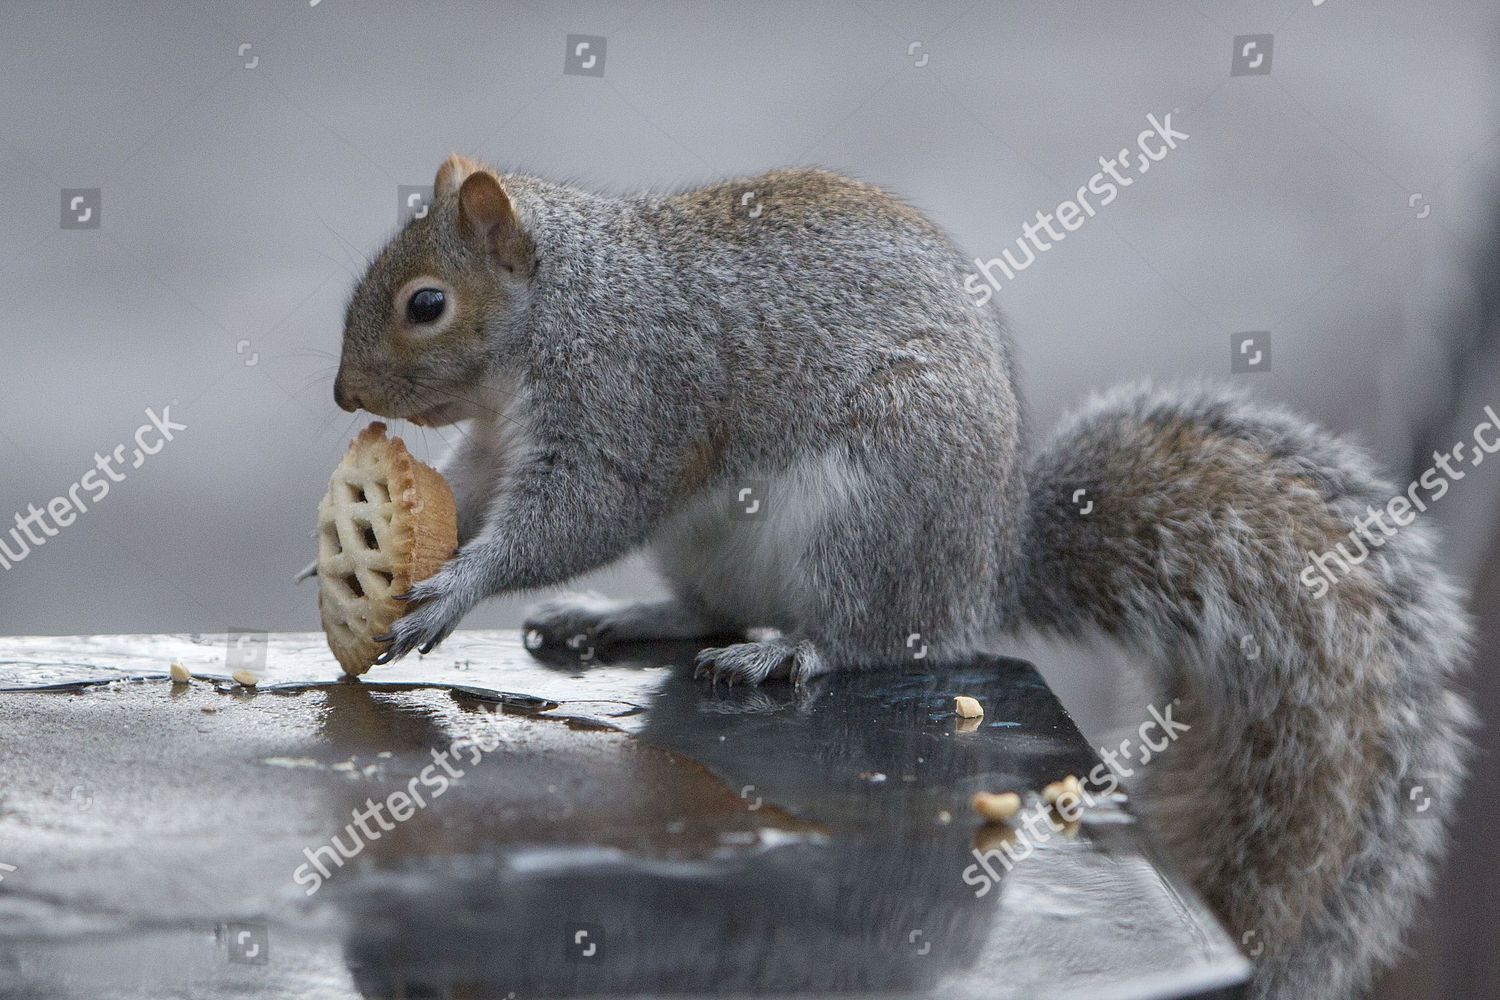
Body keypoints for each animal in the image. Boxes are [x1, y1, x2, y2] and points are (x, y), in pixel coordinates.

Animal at [332, 153, 1473, 1000]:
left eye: (426, 304)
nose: (344, 393)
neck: (560, 311)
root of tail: (987, 570)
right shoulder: (500, 439)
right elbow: (471, 491)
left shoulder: (631, 398)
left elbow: (575, 516)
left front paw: (455, 587)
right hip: (723, 547)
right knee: (712, 609)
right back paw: (633, 618)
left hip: (872, 514)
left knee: (867, 636)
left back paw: (788, 652)